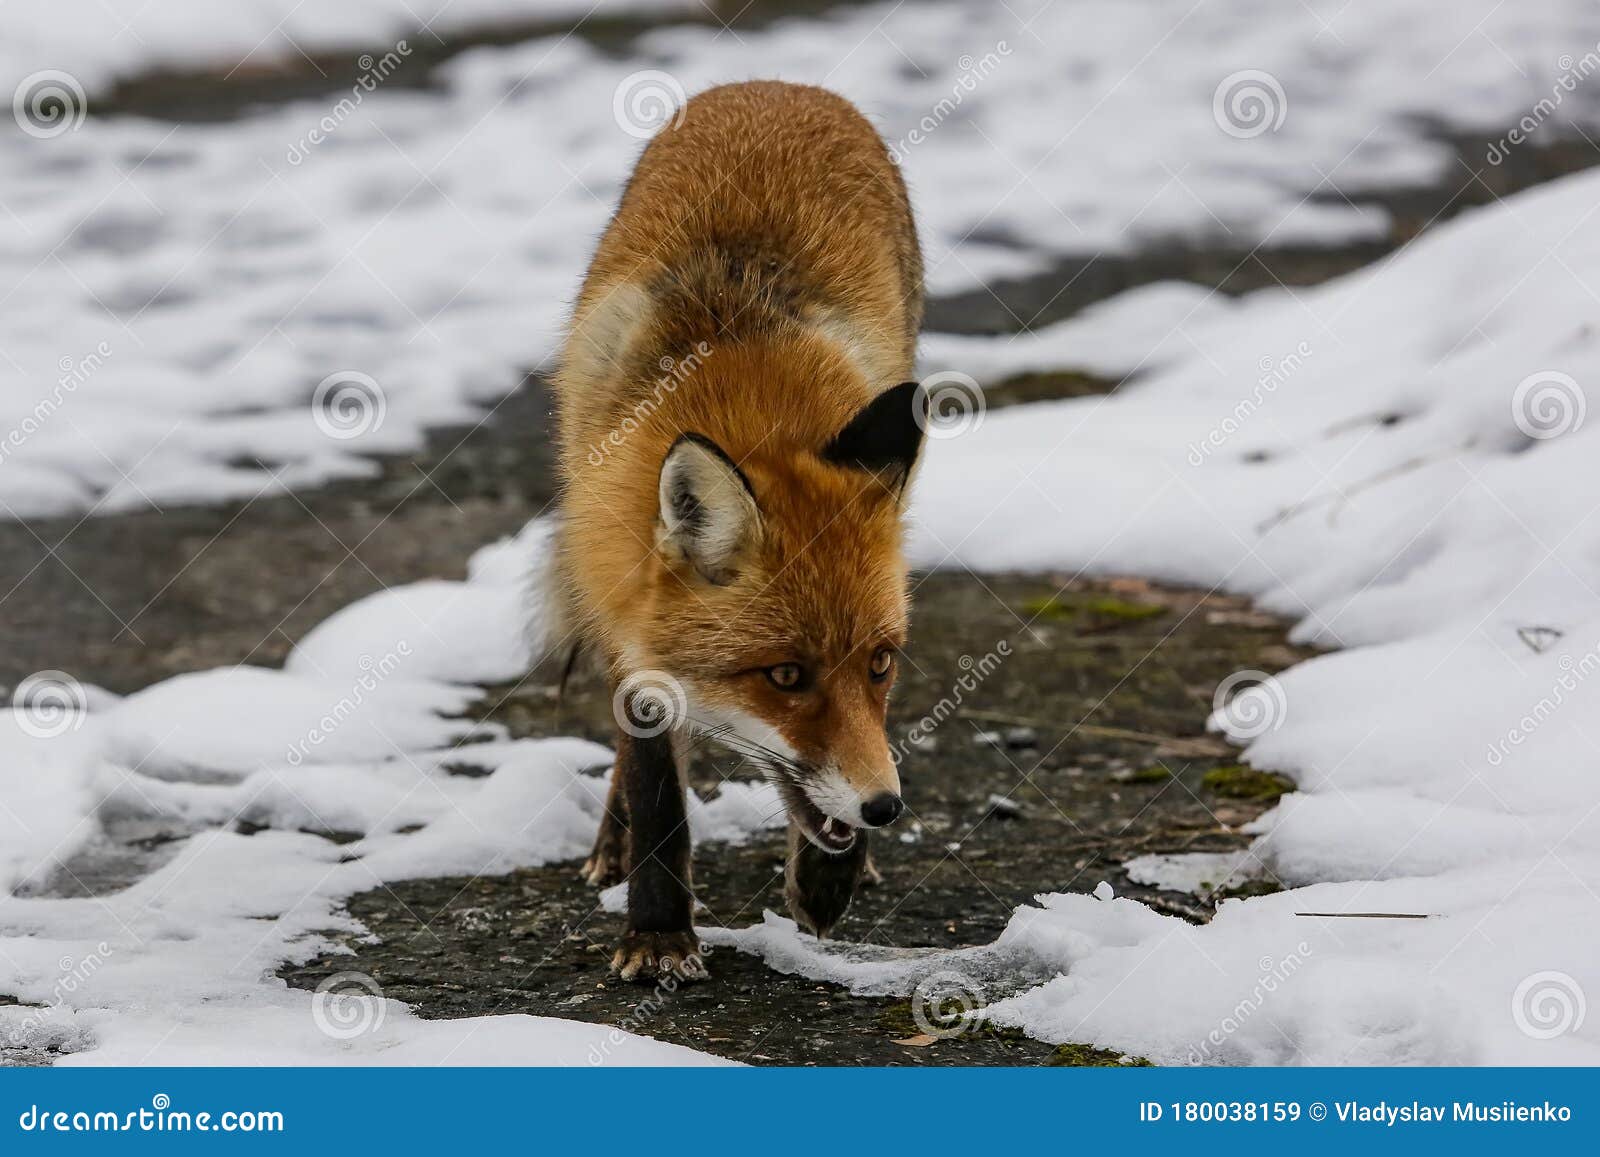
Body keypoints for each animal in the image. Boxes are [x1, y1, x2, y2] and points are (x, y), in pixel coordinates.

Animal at [551, 80, 925, 982]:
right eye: (785, 675)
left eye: (880, 663)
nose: (885, 806)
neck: (737, 388)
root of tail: (774, 86)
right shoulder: (631, 624)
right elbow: (656, 789)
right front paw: (658, 929)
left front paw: (829, 876)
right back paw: (613, 845)